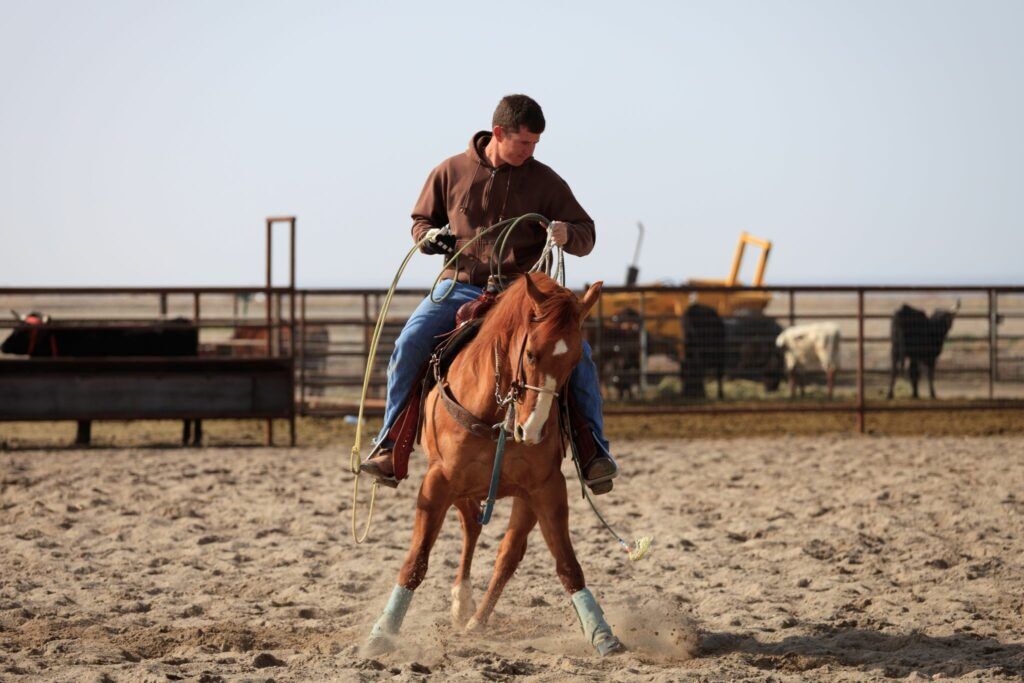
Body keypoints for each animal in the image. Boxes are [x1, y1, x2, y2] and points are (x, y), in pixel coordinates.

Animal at [365, 272, 624, 657]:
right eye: (530, 353)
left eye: (576, 360)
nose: (532, 430)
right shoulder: (438, 481)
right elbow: (416, 560)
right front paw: (382, 632)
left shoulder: (547, 487)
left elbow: (567, 564)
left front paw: (601, 632)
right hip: (461, 485)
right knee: (472, 526)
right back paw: (462, 602)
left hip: (521, 497)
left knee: (507, 553)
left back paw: (475, 620)